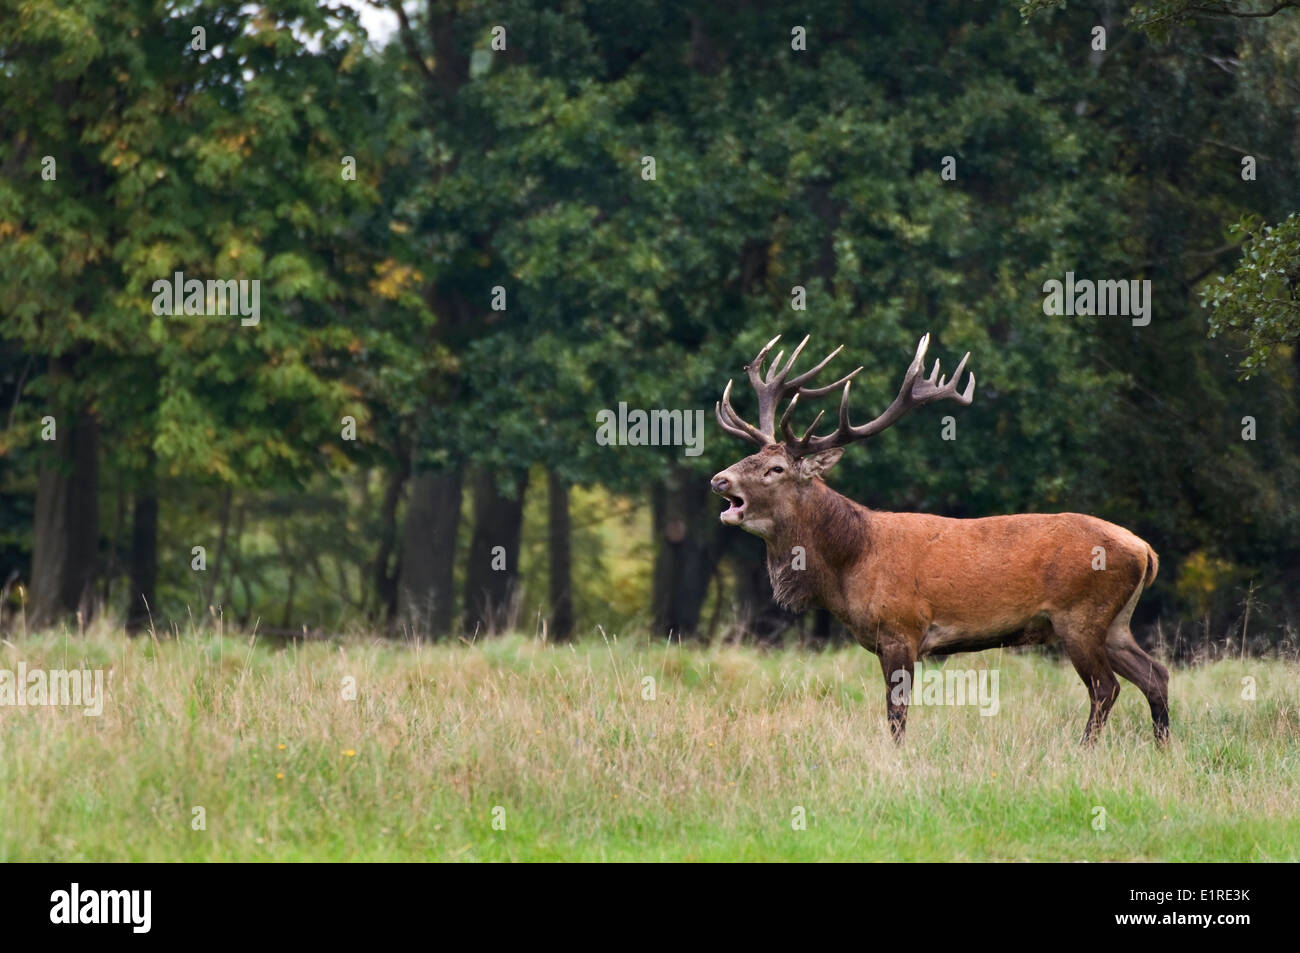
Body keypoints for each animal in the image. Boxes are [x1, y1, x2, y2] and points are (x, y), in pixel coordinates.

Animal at [711, 333, 1170, 746]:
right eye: (751, 457)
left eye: (775, 469)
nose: (719, 479)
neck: (850, 564)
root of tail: (1145, 551)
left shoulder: (902, 629)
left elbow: (897, 714)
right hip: (1116, 622)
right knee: (1156, 674)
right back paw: (1163, 747)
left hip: (1081, 615)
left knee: (1106, 687)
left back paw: (1084, 749)